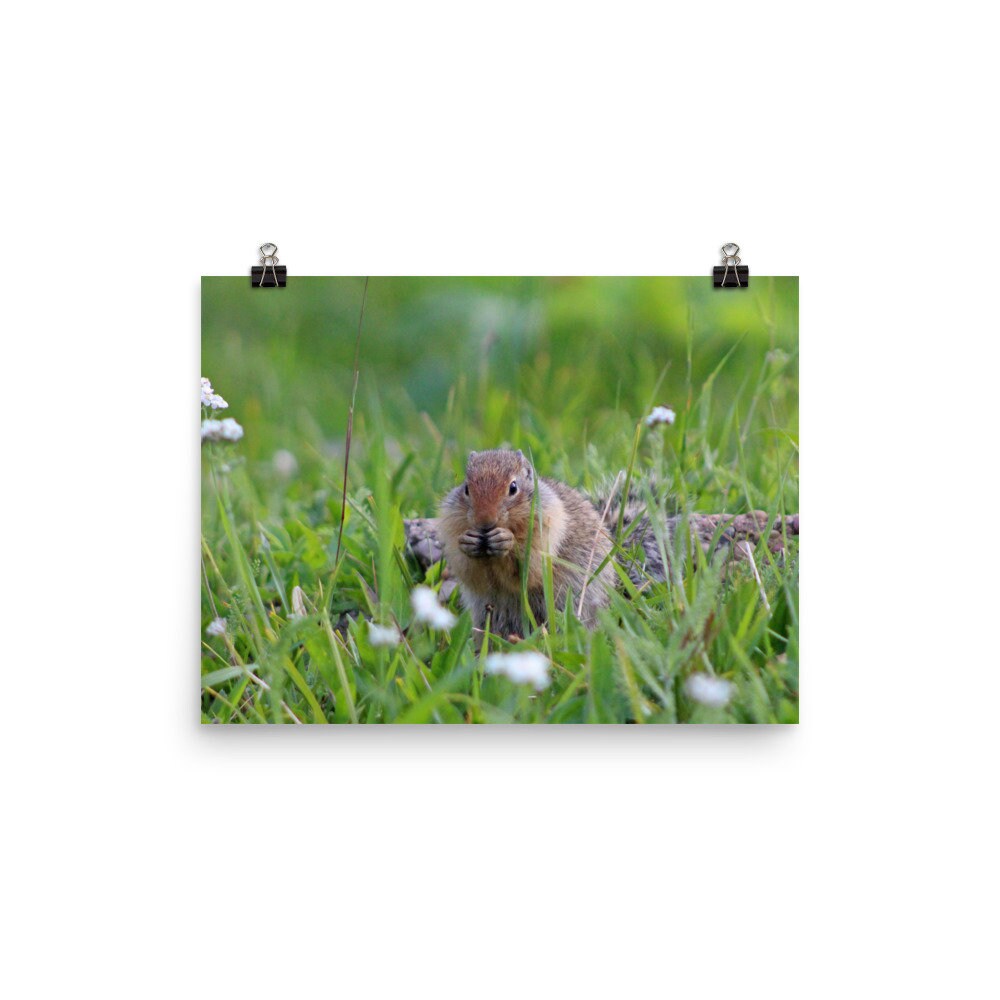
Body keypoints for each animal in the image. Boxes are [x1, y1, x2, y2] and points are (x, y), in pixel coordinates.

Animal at [439, 449, 616, 637]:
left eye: (513, 487)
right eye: (466, 488)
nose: (484, 521)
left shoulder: (545, 531)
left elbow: (529, 566)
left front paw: (507, 541)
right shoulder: (452, 527)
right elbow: (470, 572)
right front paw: (468, 542)